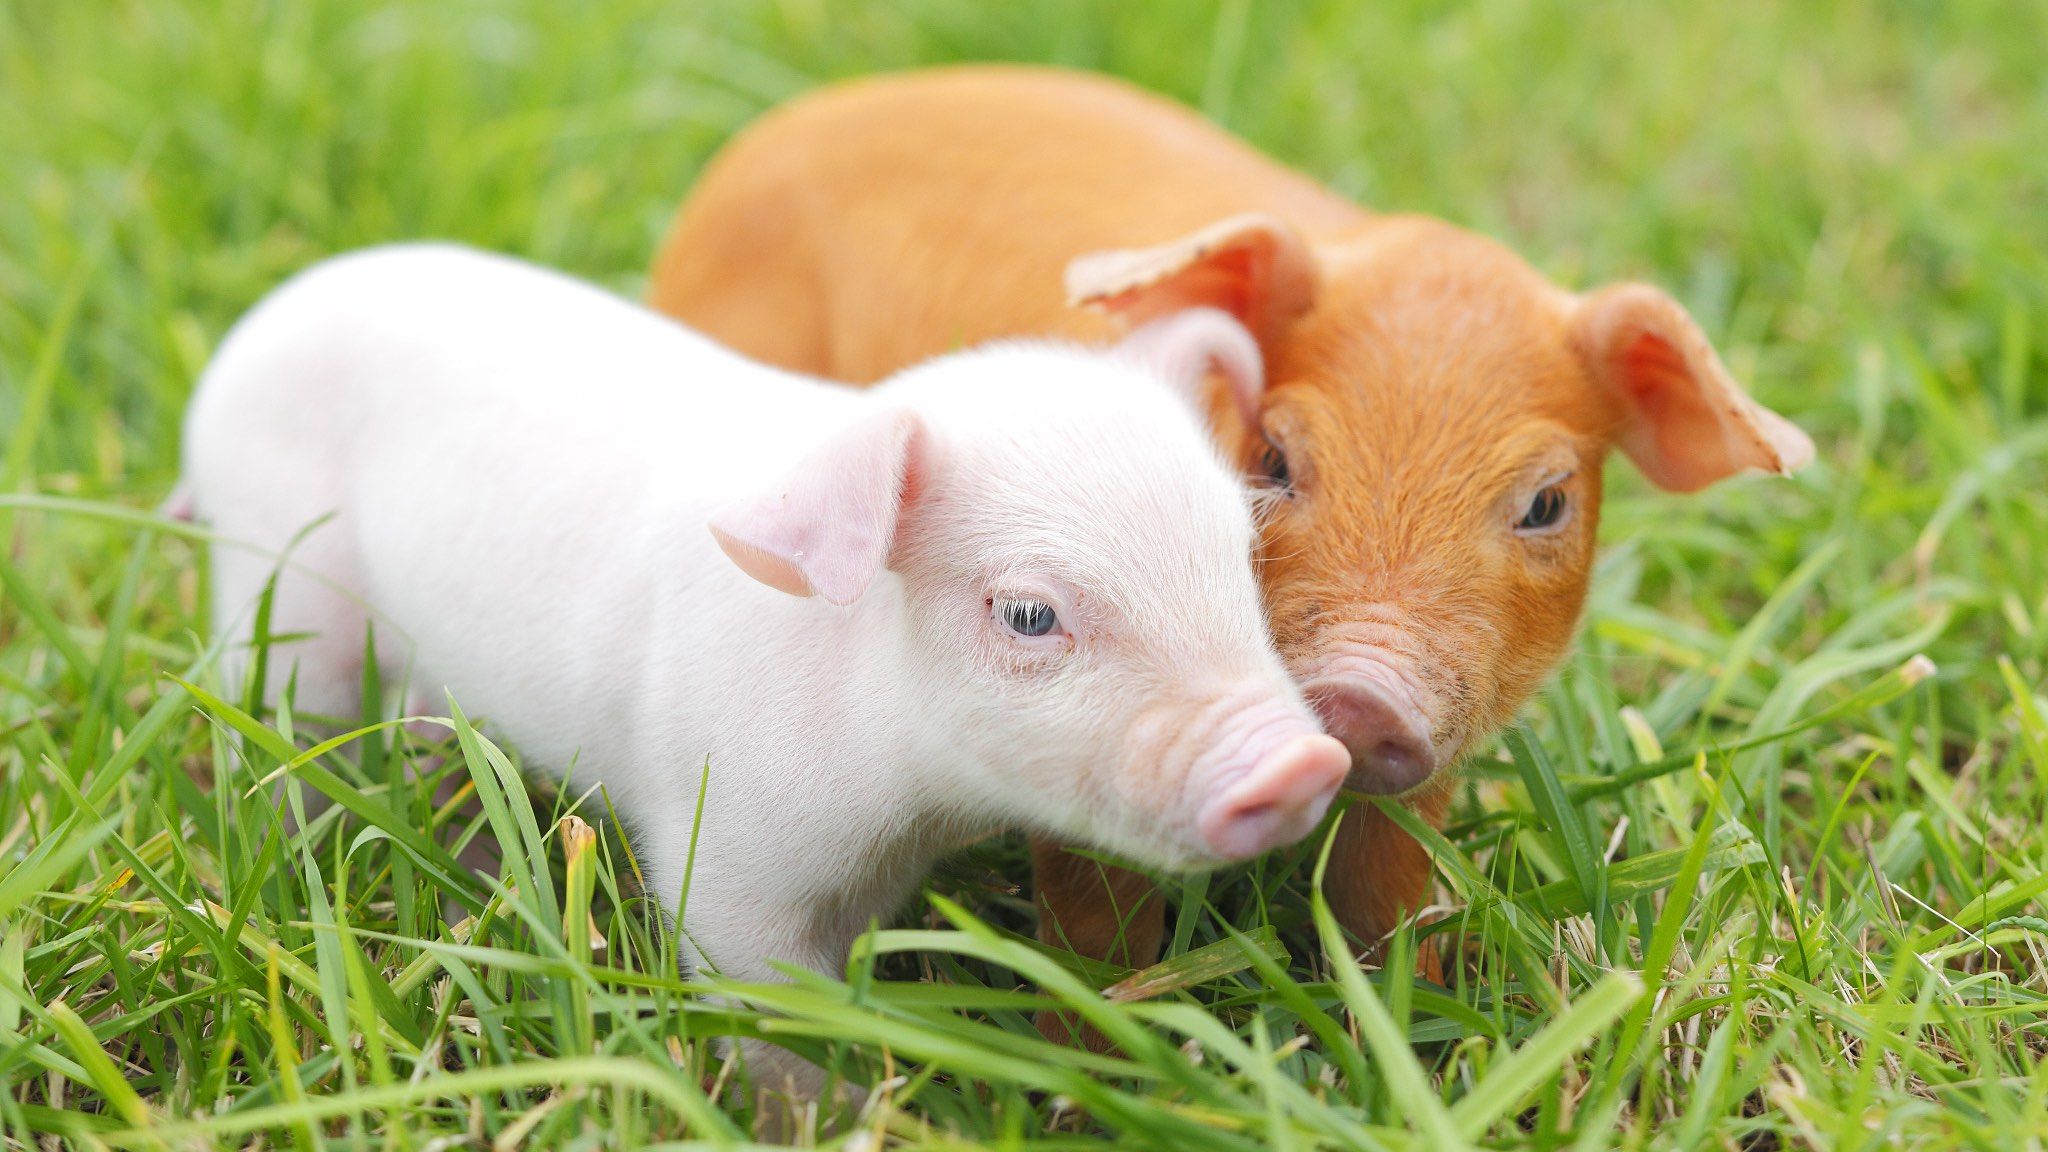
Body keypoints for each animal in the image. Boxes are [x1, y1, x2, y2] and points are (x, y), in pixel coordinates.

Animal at [180, 243, 1350, 1098]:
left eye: (1236, 557)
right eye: (1029, 614)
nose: (1301, 765)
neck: (913, 804)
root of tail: (264, 318)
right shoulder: (728, 846)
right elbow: (766, 997)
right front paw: (830, 1107)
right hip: (272, 576)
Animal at [645, 64, 1815, 1009]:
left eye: (1546, 503)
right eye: (1274, 458)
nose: (1359, 693)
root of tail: (764, 137)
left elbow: (1390, 891)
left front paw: (1414, 1019)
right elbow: (1097, 924)